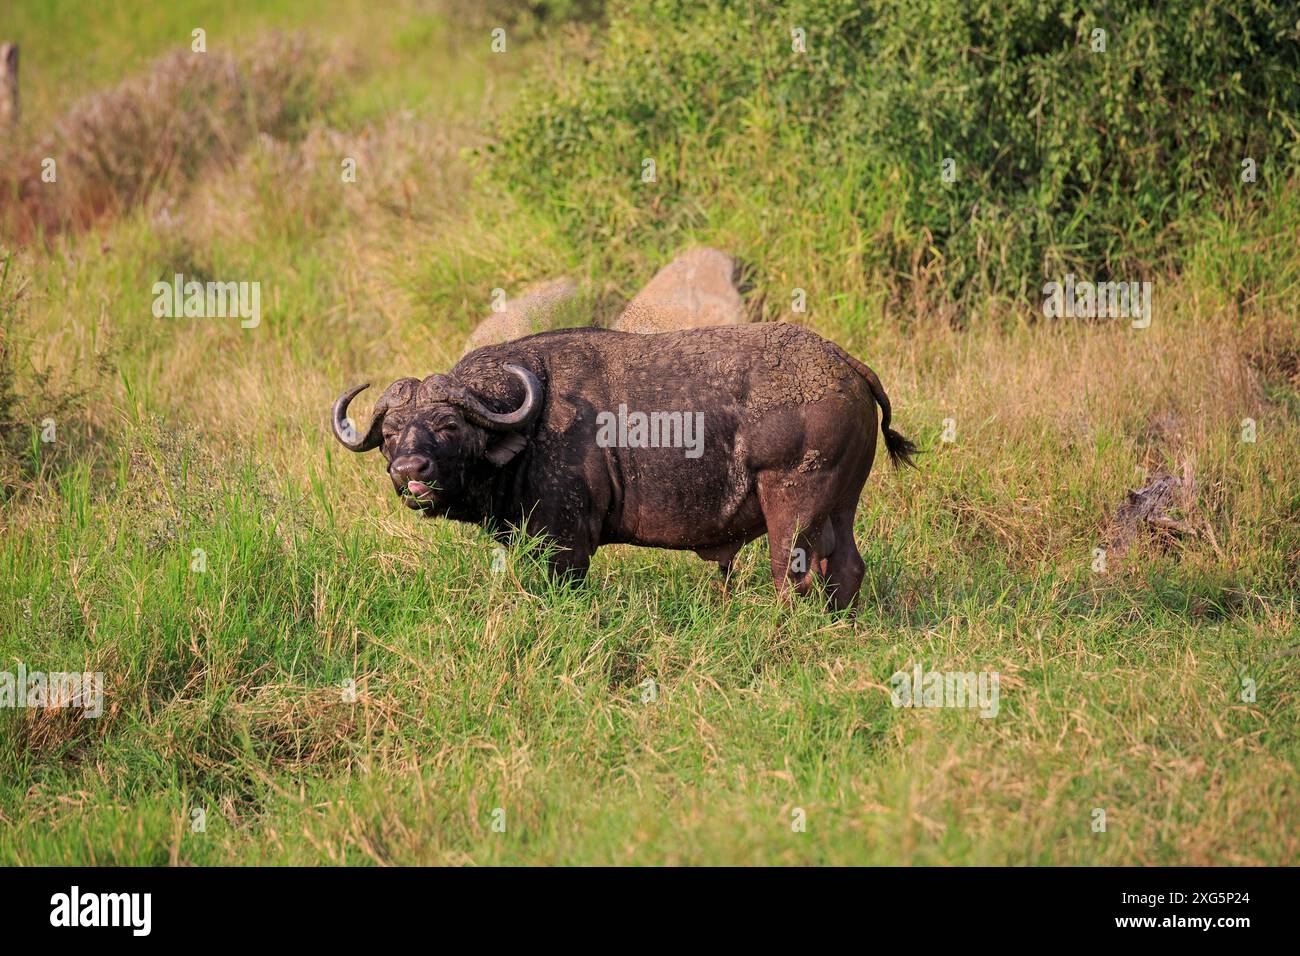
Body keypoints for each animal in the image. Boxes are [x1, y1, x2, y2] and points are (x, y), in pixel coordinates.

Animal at [332, 323, 915, 609]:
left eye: (449, 426)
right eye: (389, 434)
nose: (411, 469)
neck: (532, 422)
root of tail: (843, 363)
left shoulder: (564, 545)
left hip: (793, 508)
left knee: (793, 577)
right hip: (840, 507)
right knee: (847, 568)